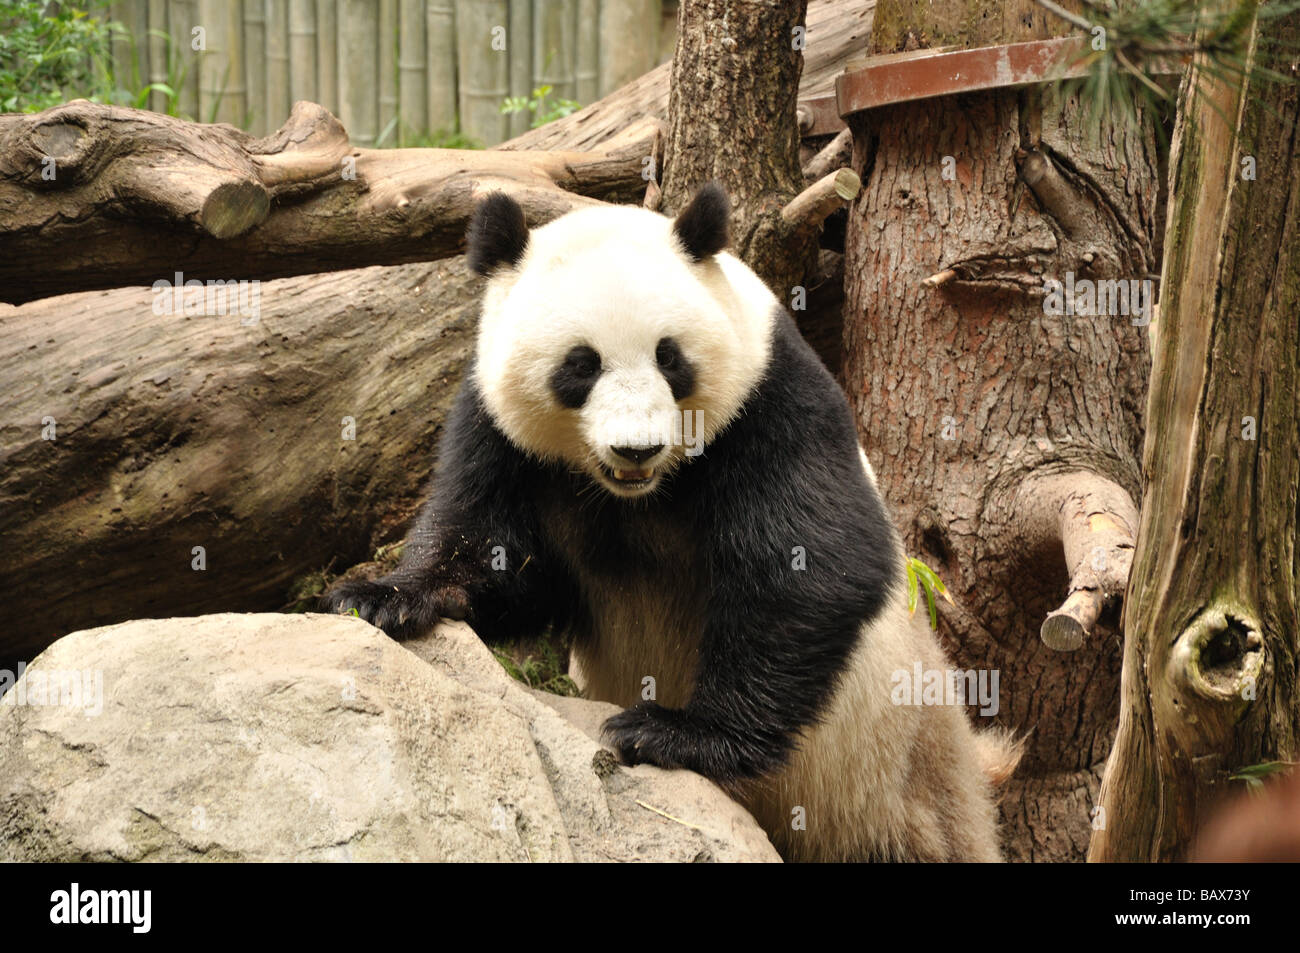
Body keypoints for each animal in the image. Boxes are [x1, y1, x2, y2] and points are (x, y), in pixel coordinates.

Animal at [325, 184, 1017, 862]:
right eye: (581, 365)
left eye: (670, 357)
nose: (638, 449)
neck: (637, 495)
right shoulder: (500, 430)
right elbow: (494, 550)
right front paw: (385, 598)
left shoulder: (772, 400)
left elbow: (812, 565)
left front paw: (678, 735)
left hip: (889, 787)